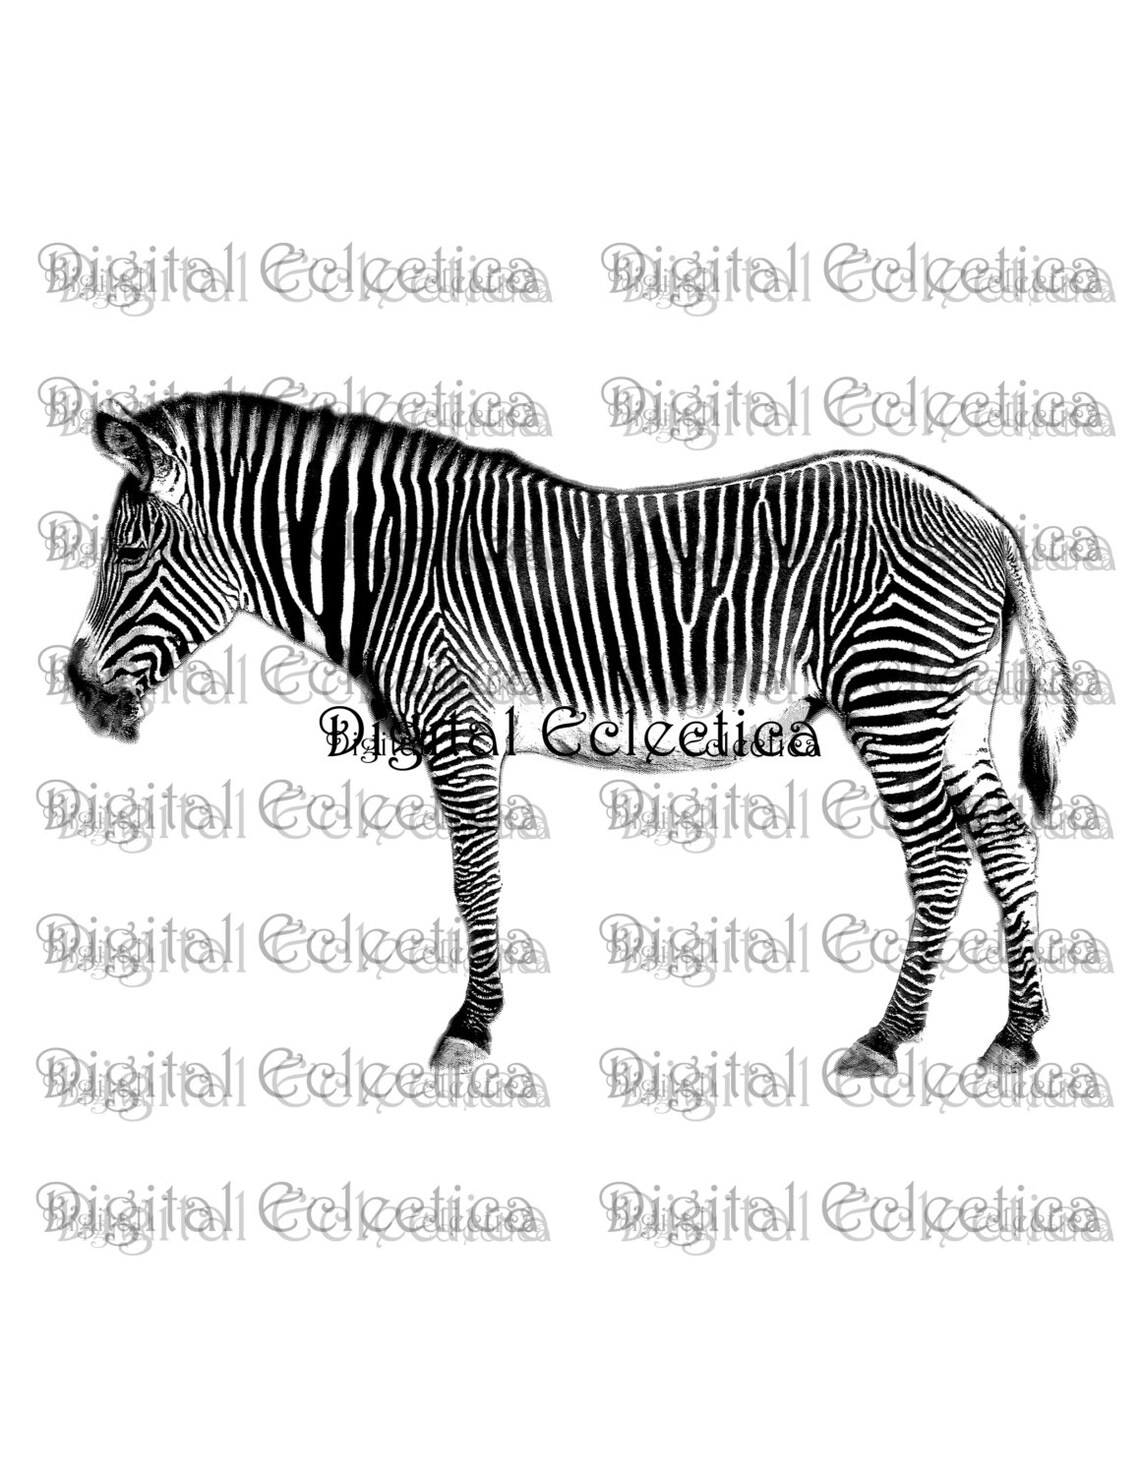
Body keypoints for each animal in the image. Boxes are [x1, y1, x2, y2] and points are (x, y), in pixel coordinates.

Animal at [66, 392, 1077, 1078]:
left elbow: (473, 880)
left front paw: (471, 1025)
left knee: (939, 854)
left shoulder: (460, 725)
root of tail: (991, 523)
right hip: (953, 712)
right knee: (1004, 839)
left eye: (126, 550)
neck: (392, 565)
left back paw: (887, 1036)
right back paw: (1016, 1035)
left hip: (895, 697)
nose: (79, 692)